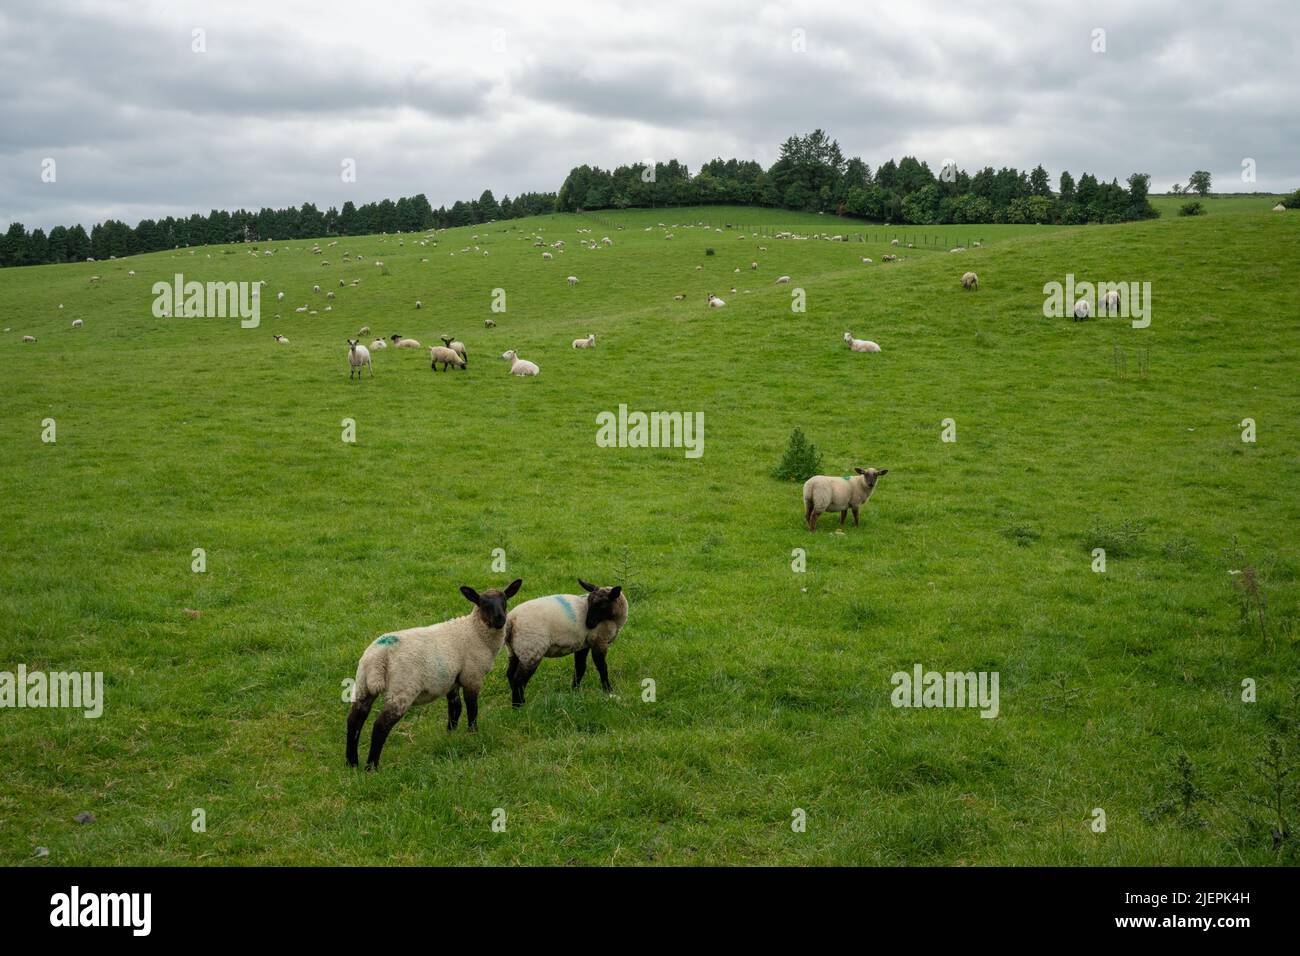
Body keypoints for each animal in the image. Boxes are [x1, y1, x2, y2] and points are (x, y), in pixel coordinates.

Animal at [346, 578, 524, 769]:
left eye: (504, 600)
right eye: (483, 603)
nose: (500, 619)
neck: (475, 632)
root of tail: (378, 657)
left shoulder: (452, 680)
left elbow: (455, 709)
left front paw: (450, 734)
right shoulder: (472, 676)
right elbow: (472, 708)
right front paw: (473, 733)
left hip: (363, 686)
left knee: (354, 720)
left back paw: (352, 763)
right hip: (401, 689)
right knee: (380, 725)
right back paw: (371, 767)